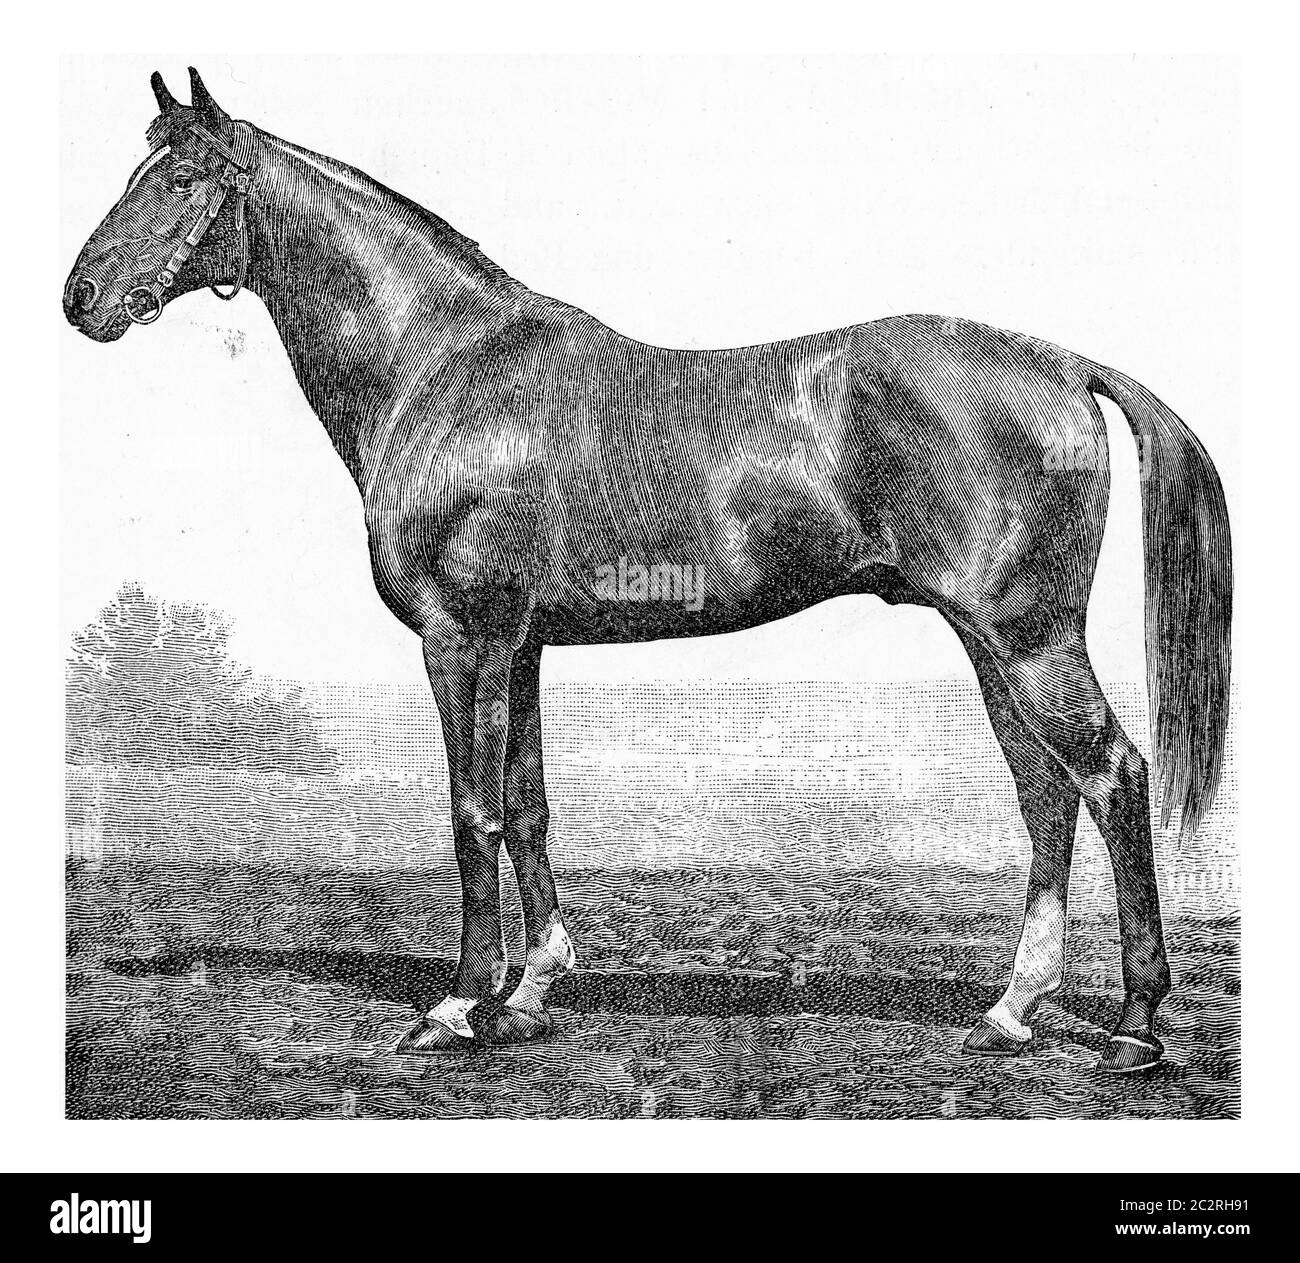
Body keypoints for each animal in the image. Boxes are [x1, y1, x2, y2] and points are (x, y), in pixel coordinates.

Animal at [64, 68, 1232, 1073]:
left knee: (1112, 777)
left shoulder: (462, 638)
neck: (442, 369)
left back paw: (1136, 1030)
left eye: (180, 179)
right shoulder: (522, 646)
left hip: (1027, 639)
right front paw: (533, 991)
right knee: (1044, 794)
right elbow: (529, 807)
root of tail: (1062, 365)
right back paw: (1011, 1008)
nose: (81, 297)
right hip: (991, 644)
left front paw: (459, 1004)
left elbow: (471, 815)